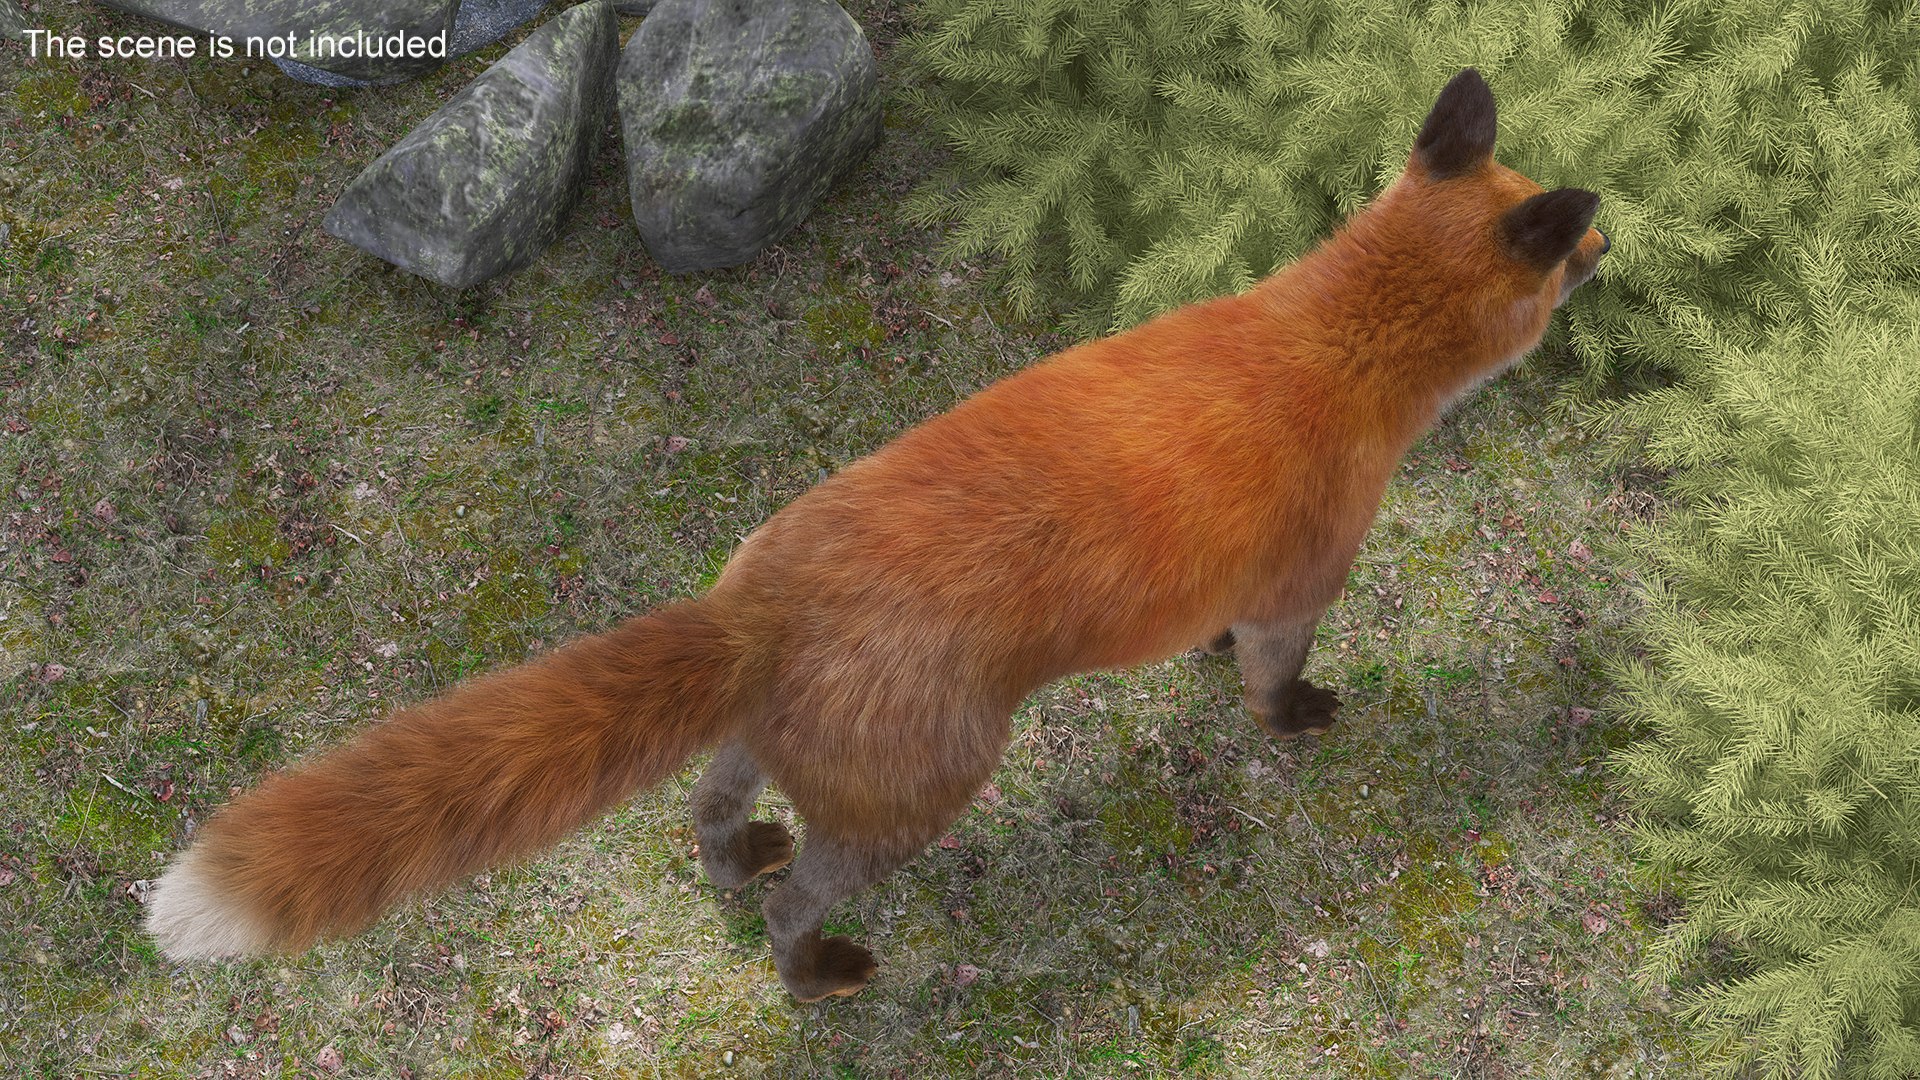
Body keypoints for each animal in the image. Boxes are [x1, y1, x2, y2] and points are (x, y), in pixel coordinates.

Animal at [147, 69, 1607, 1001]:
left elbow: (1224, 641)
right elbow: (1271, 678)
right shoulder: (1307, 578)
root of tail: (756, 612)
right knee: (801, 895)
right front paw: (1300, 722)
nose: (1616, 243)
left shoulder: (1244, 579)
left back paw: (737, 858)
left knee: (712, 800)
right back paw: (820, 977)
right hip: (922, 795)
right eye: (1575, 245)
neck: (1330, 350)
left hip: (779, 742)